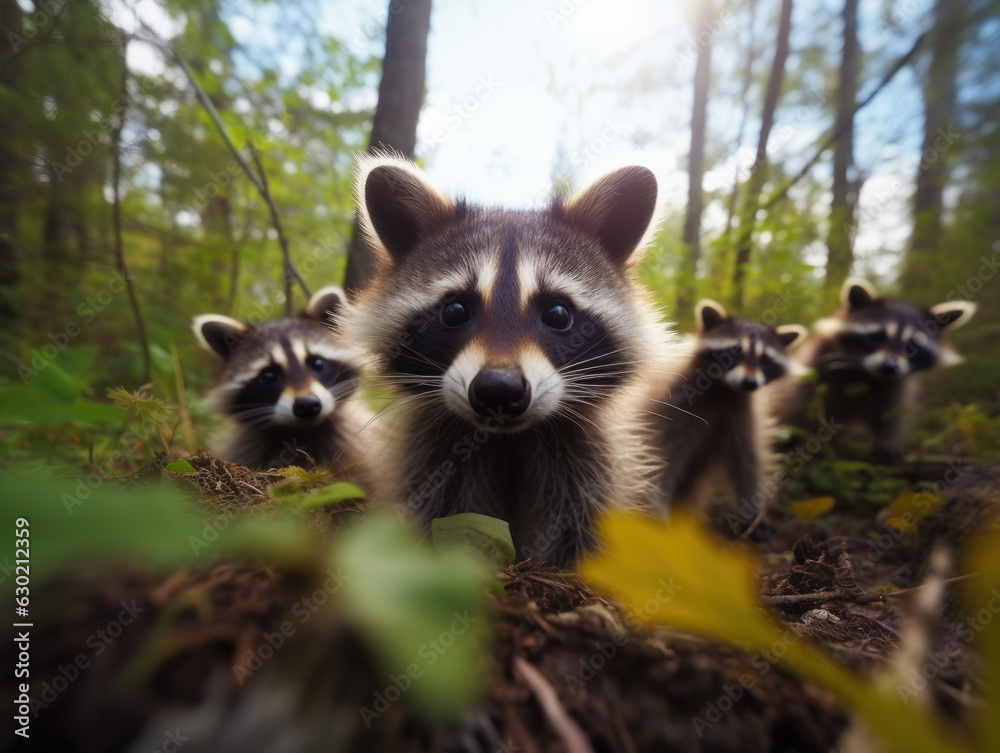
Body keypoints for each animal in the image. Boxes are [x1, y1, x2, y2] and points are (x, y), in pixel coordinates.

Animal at [340, 155, 674, 568]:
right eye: (454, 311)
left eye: (558, 314)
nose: (498, 390)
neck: (508, 440)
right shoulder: (436, 455)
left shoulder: (588, 457)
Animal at [648, 299, 807, 529]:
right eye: (735, 351)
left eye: (765, 359)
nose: (750, 383)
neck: (725, 390)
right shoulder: (675, 402)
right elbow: (660, 453)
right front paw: (655, 507)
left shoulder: (742, 413)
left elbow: (746, 459)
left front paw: (752, 512)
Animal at [779, 277, 976, 459]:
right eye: (878, 336)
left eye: (913, 344)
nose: (889, 367)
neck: (867, 374)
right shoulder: (815, 367)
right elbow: (796, 401)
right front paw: (791, 437)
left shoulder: (896, 384)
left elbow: (892, 413)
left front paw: (887, 442)